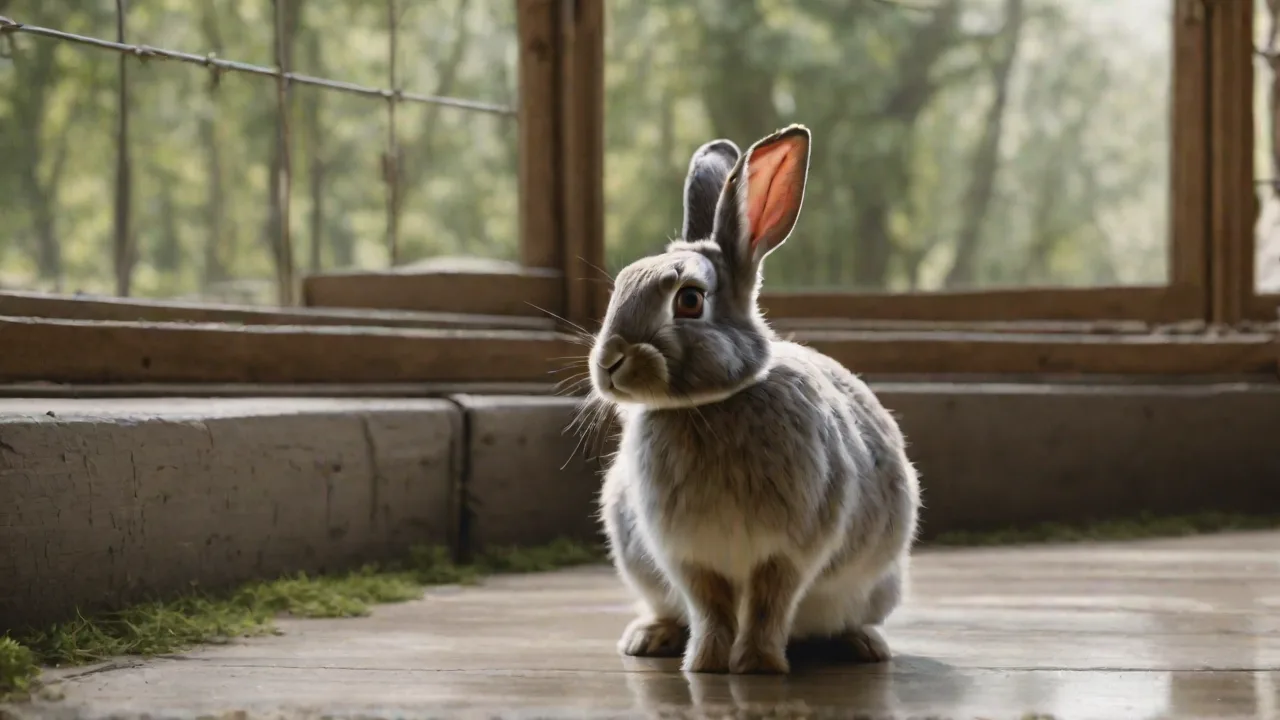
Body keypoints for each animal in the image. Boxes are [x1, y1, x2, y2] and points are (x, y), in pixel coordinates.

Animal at [587, 124, 921, 675]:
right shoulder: (688, 557)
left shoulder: (789, 549)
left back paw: (865, 646)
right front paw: (705, 664)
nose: (609, 362)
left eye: (689, 300)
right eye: (620, 288)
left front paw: (758, 665)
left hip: (879, 584)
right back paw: (647, 637)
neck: (710, 404)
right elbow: (710, 607)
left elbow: (768, 603)